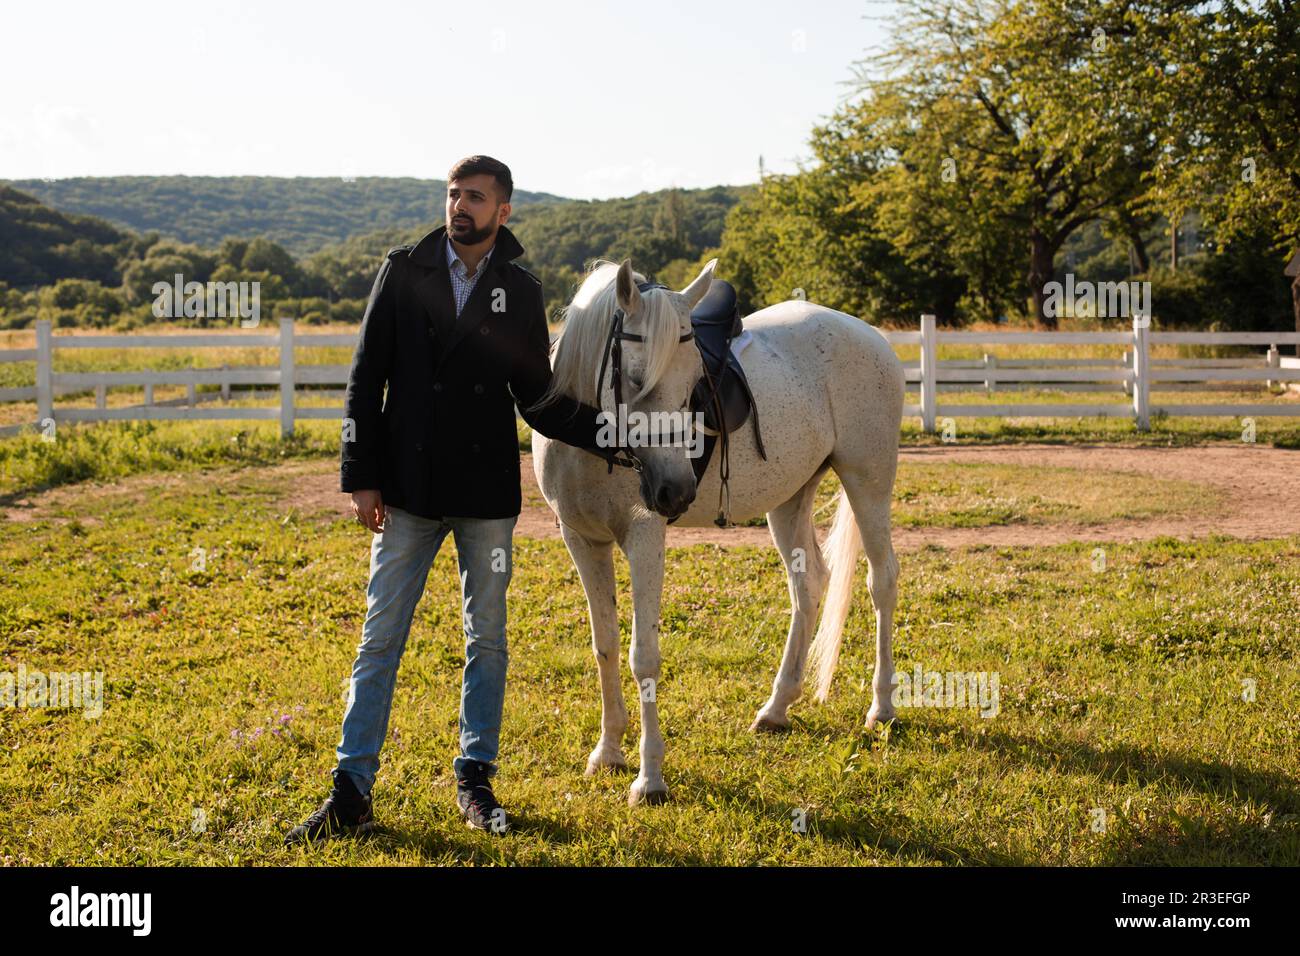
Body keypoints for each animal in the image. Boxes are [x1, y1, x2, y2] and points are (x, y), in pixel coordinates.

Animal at [530, 258, 904, 805]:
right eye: (636, 380)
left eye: (694, 385)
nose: (675, 491)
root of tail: (872, 336)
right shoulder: (582, 540)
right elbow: (605, 645)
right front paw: (608, 752)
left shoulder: (644, 537)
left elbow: (643, 656)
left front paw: (650, 778)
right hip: (790, 499)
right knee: (809, 585)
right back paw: (776, 707)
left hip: (867, 482)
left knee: (882, 582)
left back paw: (882, 708)